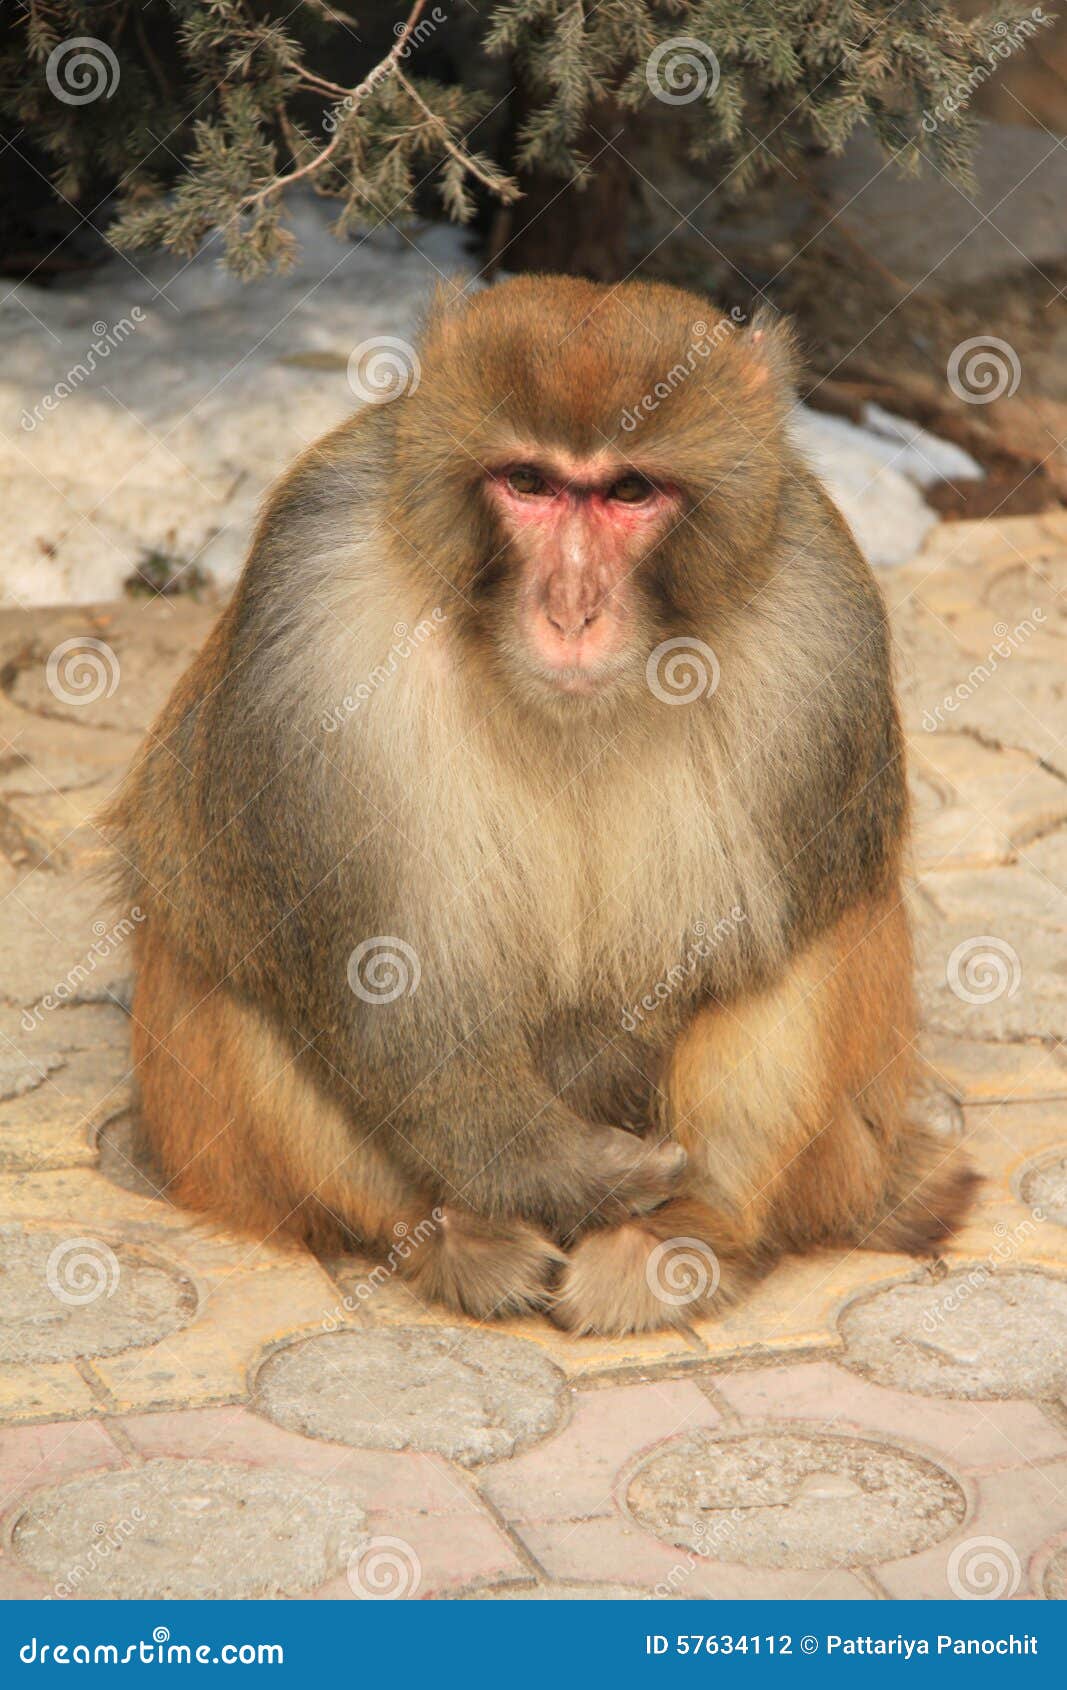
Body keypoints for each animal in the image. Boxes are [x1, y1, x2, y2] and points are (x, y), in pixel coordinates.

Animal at [104, 274, 978, 1336]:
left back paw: (683, 1243)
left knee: (802, 944)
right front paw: (572, 1176)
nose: (569, 609)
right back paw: (447, 1238)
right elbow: (381, 978)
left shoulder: (820, 621)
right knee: (242, 971)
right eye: (528, 482)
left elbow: (742, 947)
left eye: (629, 493)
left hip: (845, 1156)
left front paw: (643, 1209)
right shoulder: (310, 598)